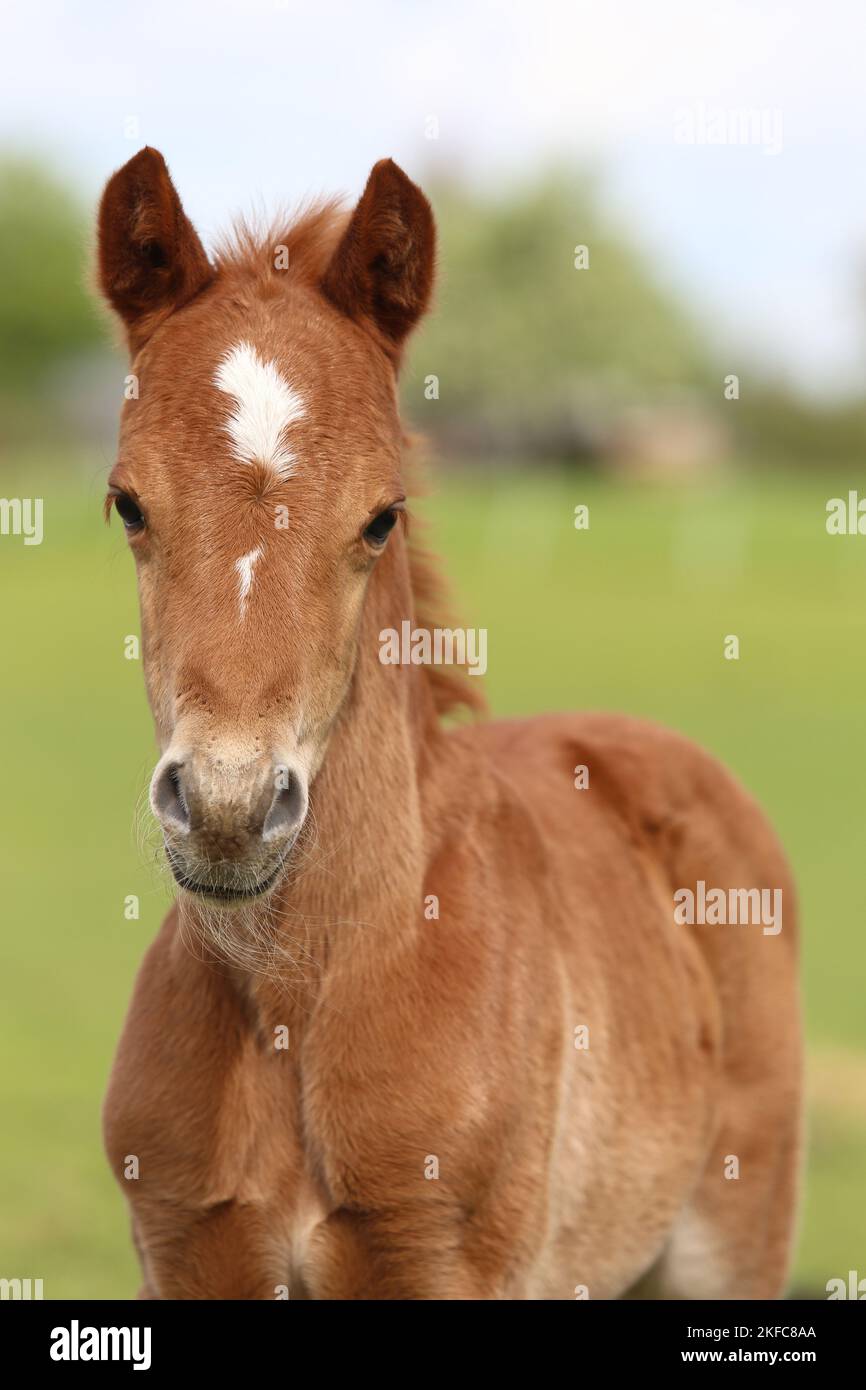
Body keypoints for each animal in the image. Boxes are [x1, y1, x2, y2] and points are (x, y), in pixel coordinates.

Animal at [96, 147, 801, 1300]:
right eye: (127, 504)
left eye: (381, 517)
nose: (228, 807)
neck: (293, 1006)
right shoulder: (186, 1259)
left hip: (730, 1240)